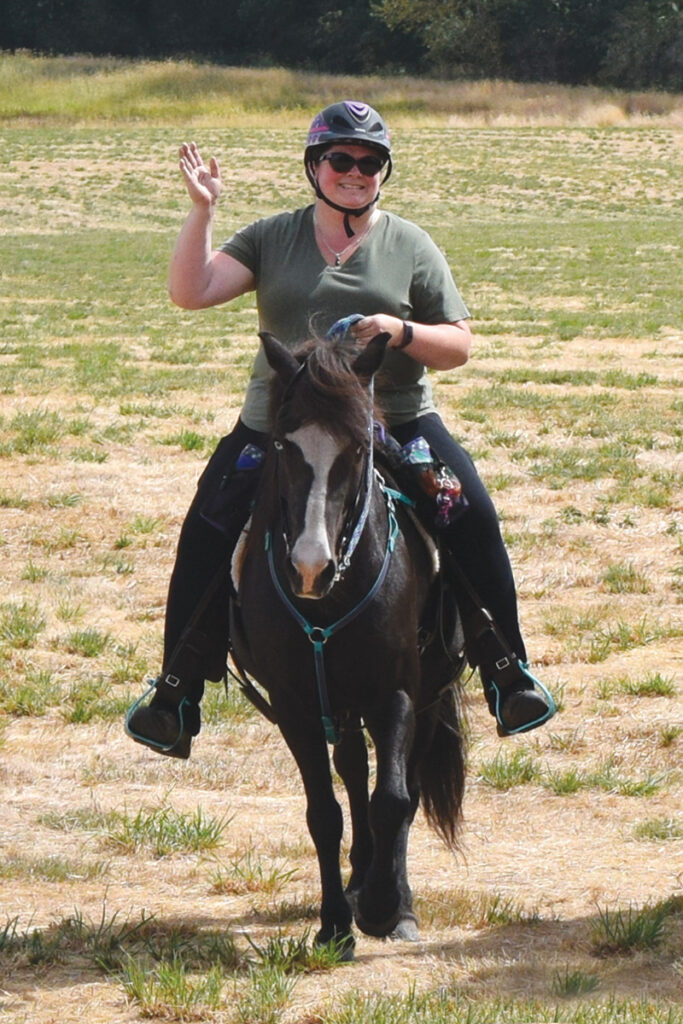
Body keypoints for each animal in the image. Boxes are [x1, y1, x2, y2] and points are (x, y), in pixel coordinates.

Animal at [229, 329, 467, 957]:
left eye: (360, 447)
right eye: (284, 445)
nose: (310, 567)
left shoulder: (397, 694)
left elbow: (394, 800)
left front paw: (388, 908)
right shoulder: (296, 705)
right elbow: (325, 812)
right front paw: (335, 922)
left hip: (422, 694)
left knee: (399, 786)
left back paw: (389, 893)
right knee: (354, 771)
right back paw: (359, 879)